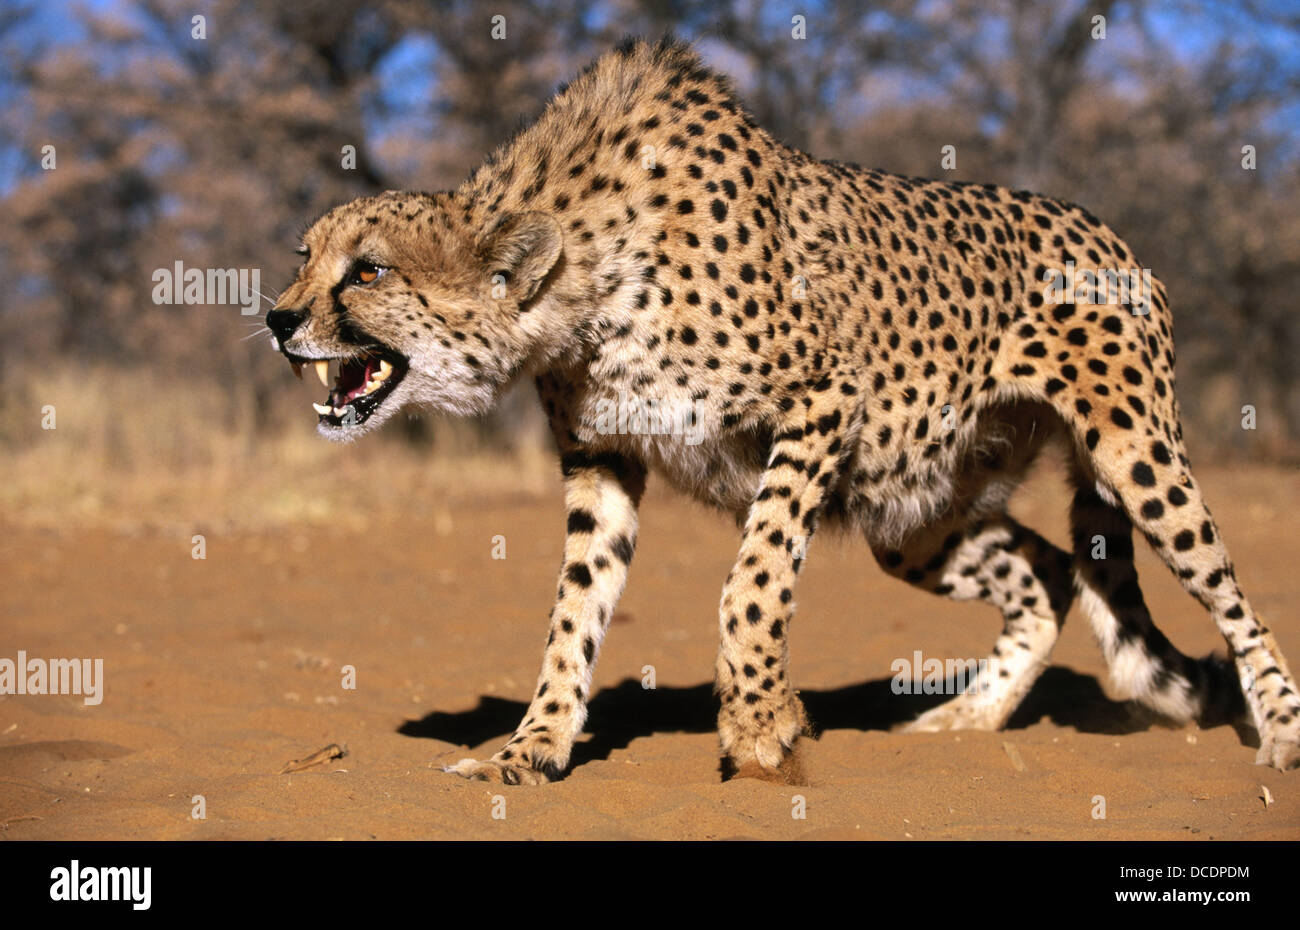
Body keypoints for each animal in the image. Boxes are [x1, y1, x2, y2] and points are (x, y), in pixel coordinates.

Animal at [265, 36, 1299, 783]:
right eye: (303, 259)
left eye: (366, 272)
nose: (276, 319)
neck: (579, 280)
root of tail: (1113, 236)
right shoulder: (603, 460)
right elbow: (574, 609)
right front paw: (535, 747)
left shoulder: (822, 401)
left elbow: (752, 581)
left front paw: (762, 730)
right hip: (910, 511)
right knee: (1046, 571)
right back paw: (968, 717)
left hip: (1135, 456)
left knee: (1231, 599)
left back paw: (1280, 732)